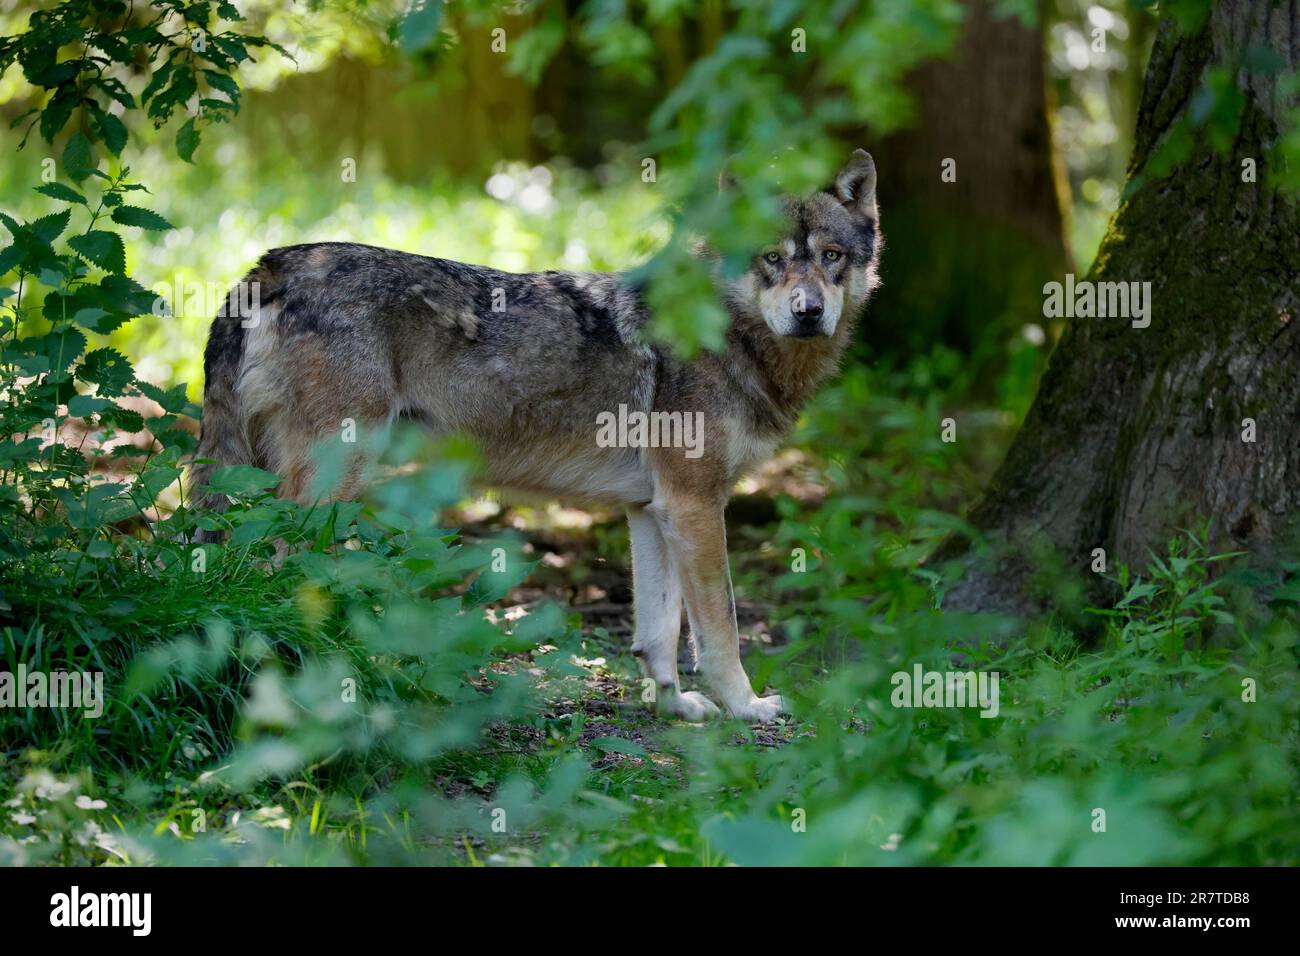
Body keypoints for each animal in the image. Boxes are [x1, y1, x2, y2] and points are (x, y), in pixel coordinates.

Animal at [192, 149, 882, 723]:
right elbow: (721, 630)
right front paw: (747, 707)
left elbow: (658, 632)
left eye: (831, 257)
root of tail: (268, 265)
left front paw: (675, 707)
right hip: (330, 484)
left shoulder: (653, 508)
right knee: (274, 561)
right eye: (773, 259)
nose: (809, 312)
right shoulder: (696, 507)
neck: (728, 334)